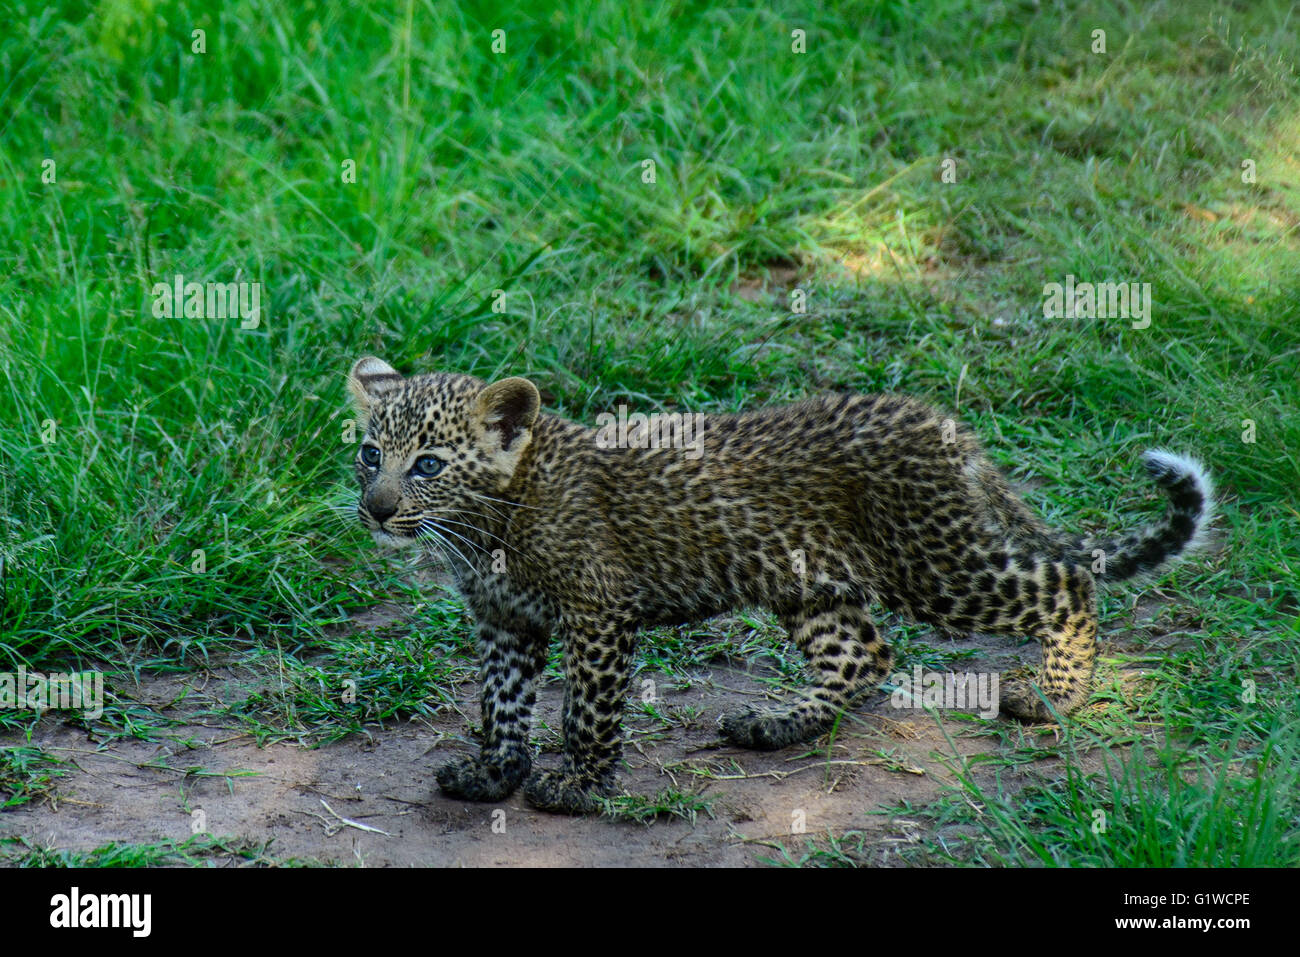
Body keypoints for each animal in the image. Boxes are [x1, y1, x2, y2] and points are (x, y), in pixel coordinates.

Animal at [346, 356, 1214, 814]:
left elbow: (585, 710)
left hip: (936, 563)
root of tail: (945, 426)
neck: (484, 529)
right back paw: (775, 724)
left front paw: (580, 785)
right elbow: (501, 704)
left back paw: (1056, 694)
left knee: (1064, 584)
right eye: (369, 453)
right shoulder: (507, 624)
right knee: (864, 655)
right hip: (810, 583)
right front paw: (494, 772)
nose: (375, 508)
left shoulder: (598, 611)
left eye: (428, 464)